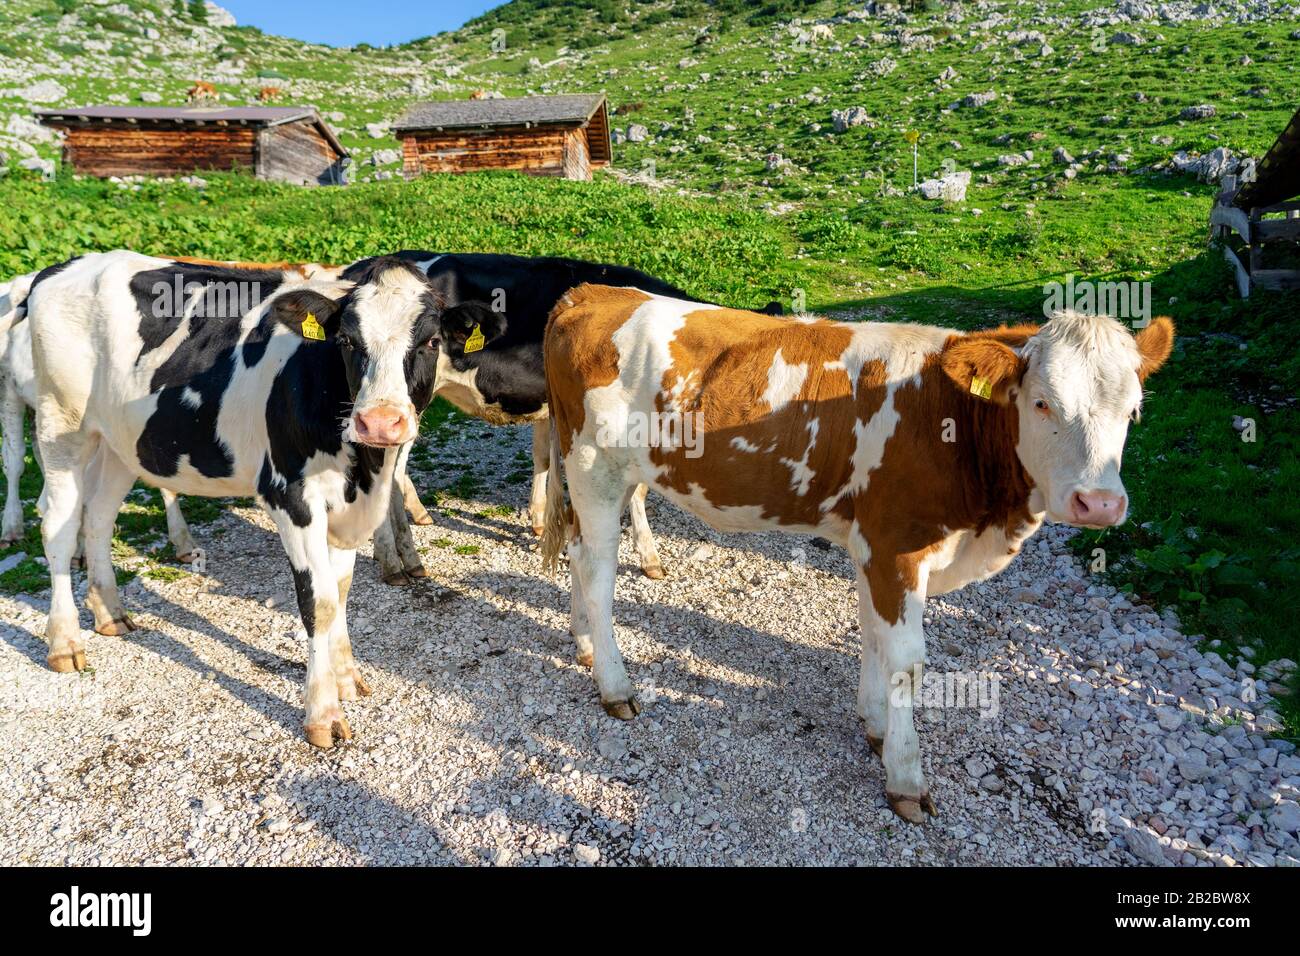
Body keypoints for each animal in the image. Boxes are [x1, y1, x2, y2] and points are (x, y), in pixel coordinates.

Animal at [26, 251, 493, 747]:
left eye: (431, 340)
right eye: (347, 340)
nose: (381, 423)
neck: (363, 472)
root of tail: (66, 266)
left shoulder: (345, 510)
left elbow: (341, 590)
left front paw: (346, 677)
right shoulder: (292, 496)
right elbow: (318, 603)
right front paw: (323, 713)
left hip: (122, 443)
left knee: (97, 518)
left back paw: (110, 613)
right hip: (62, 425)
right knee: (58, 527)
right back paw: (65, 642)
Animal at [367, 251, 784, 584]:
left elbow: (543, 460)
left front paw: (538, 521)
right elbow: (635, 491)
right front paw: (648, 557)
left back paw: (416, 522)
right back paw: (394, 562)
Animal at [541, 283, 1174, 824]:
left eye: (1135, 410)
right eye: (1041, 403)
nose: (1099, 503)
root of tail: (591, 292)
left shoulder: (873, 546)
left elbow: (871, 634)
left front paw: (874, 725)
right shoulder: (897, 545)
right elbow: (907, 663)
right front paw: (906, 778)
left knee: (577, 551)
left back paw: (584, 645)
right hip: (596, 468)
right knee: (597, 571)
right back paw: (615, 686)